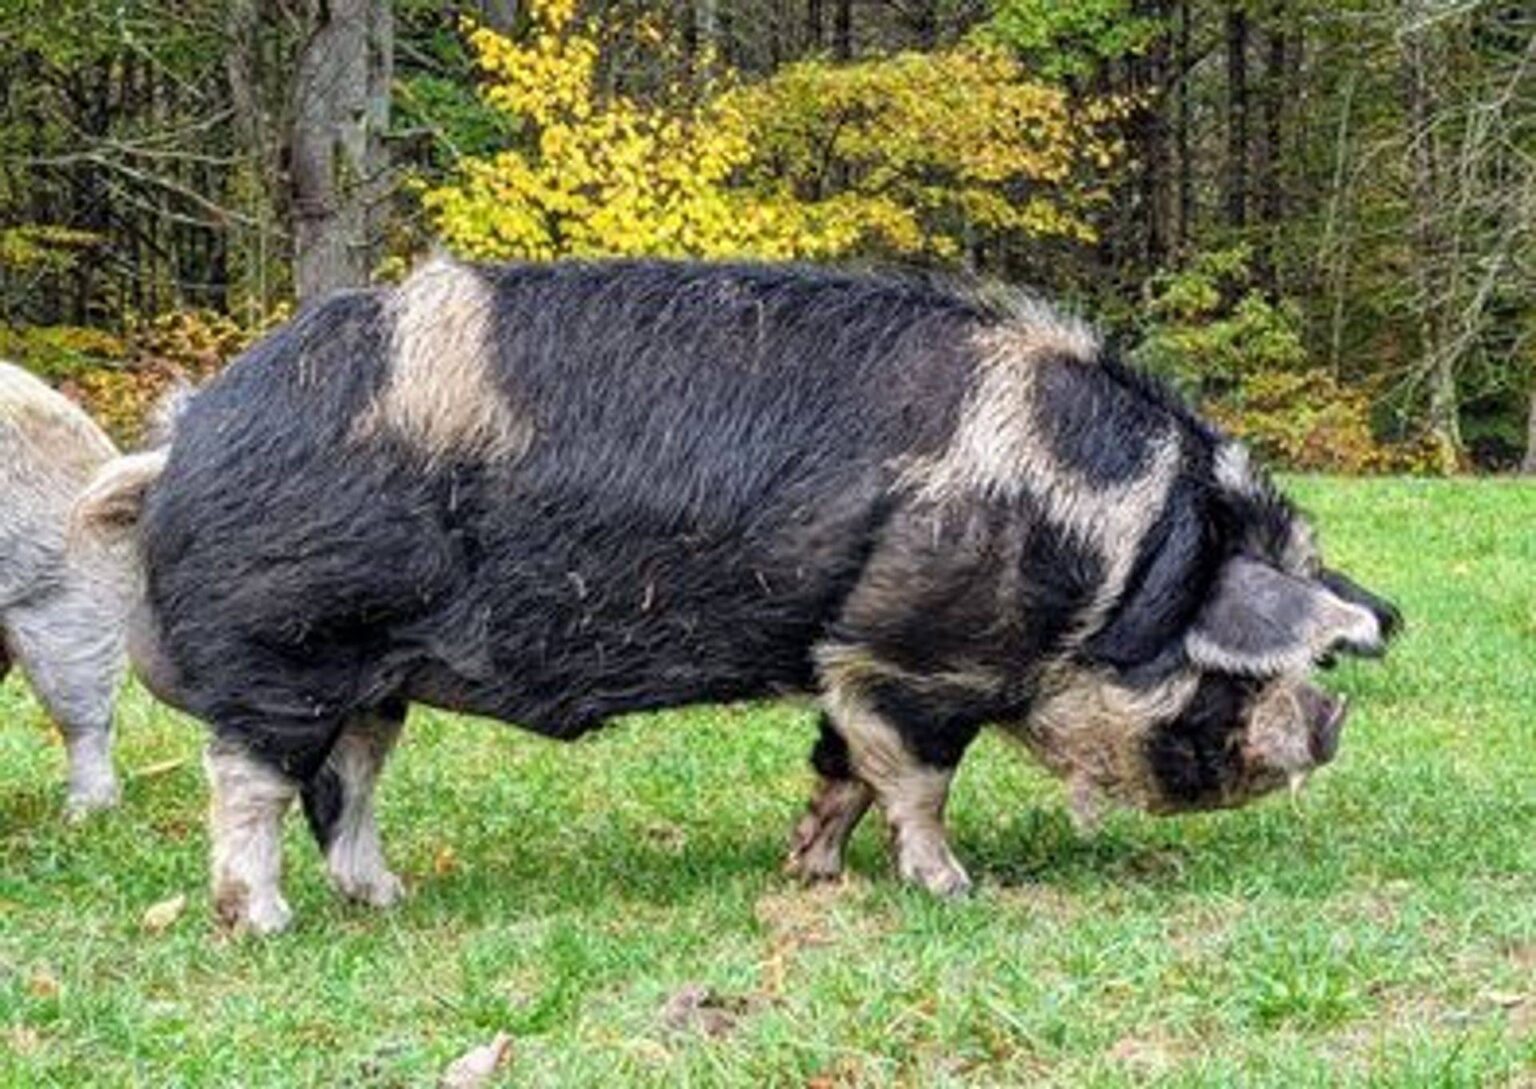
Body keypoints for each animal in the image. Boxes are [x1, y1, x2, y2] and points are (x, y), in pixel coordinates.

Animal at [78, 259, 1398, 933]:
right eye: (1242, 676)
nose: (1331, 726)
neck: (1112, 551)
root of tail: (187, 436)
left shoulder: (845, 647)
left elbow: (842, 767)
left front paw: (808, 870)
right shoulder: (915, 653)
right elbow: (916, 780)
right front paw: (952, 888)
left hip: (372, 673)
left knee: (348, 782)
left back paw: (387, 899)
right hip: (288, 649)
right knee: (249, 781)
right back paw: (263, 922)